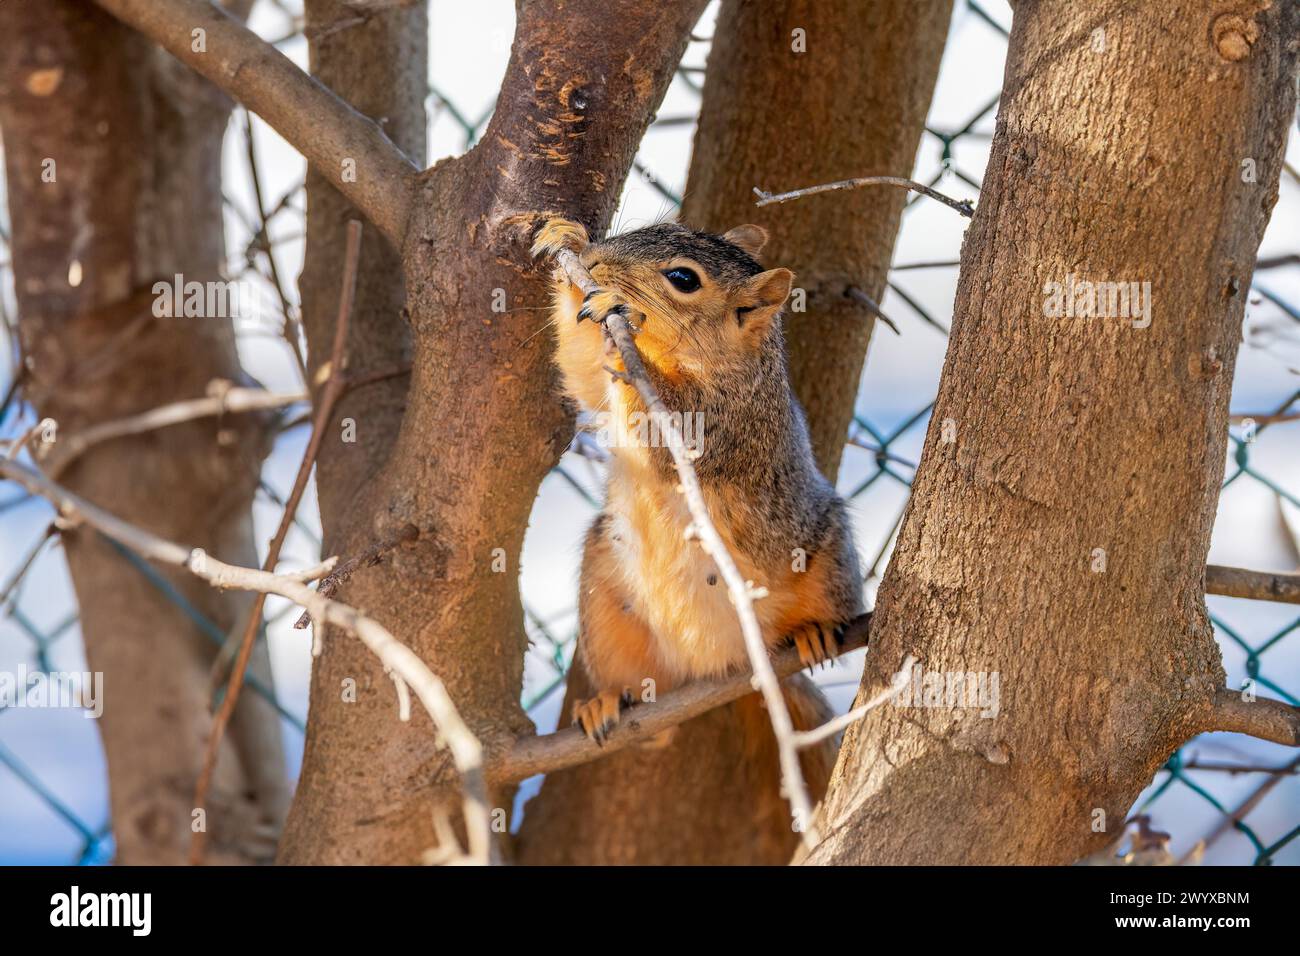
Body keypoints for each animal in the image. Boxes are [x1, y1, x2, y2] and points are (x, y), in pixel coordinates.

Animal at [532, 217, 864, 802]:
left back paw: (815, 632)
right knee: (643, 700)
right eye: (659, 225)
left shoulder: (725, 422)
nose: (595, 263)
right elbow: (585, 374)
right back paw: (608, 702)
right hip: (606, 602)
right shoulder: (599, 387)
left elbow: (671, 432)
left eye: (684, 279)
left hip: (825, 552)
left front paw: (616, 309)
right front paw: (565, 239)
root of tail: (723, 661)